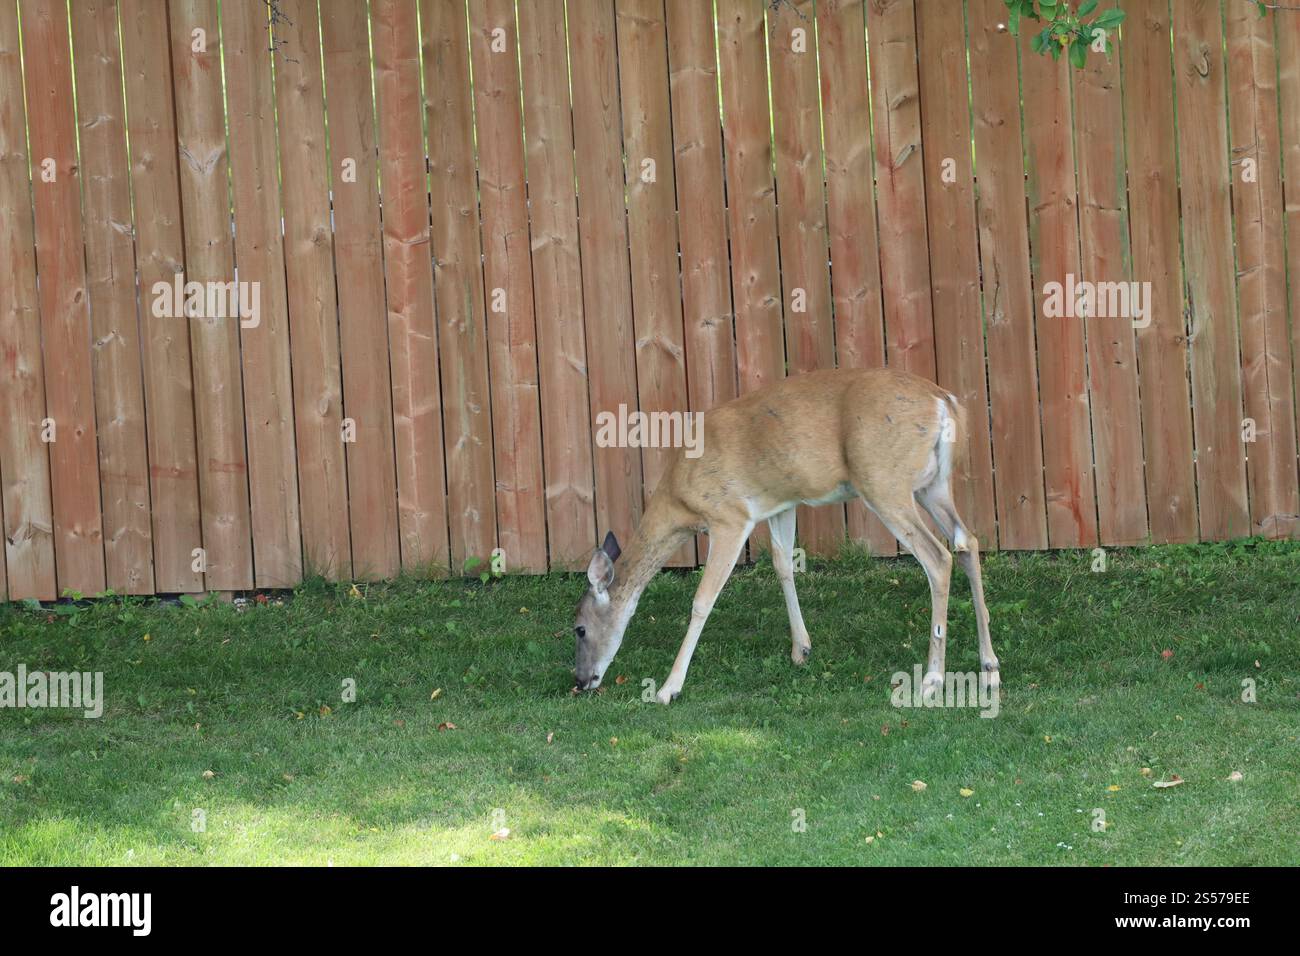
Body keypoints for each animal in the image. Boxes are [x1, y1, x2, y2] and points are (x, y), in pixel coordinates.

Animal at [572, 367, 998, 705]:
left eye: (579, 628)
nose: (579, 680)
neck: (680, 499)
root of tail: (945, 402)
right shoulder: (781, 504)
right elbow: (783, 566)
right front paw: (801, 650)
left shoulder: (729, 516)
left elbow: (702, 600)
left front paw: (668, 688)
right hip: (932, 485)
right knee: (968, 541)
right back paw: (989, 666)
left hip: (884, 481)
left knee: (938, 558)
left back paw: (932, 679)